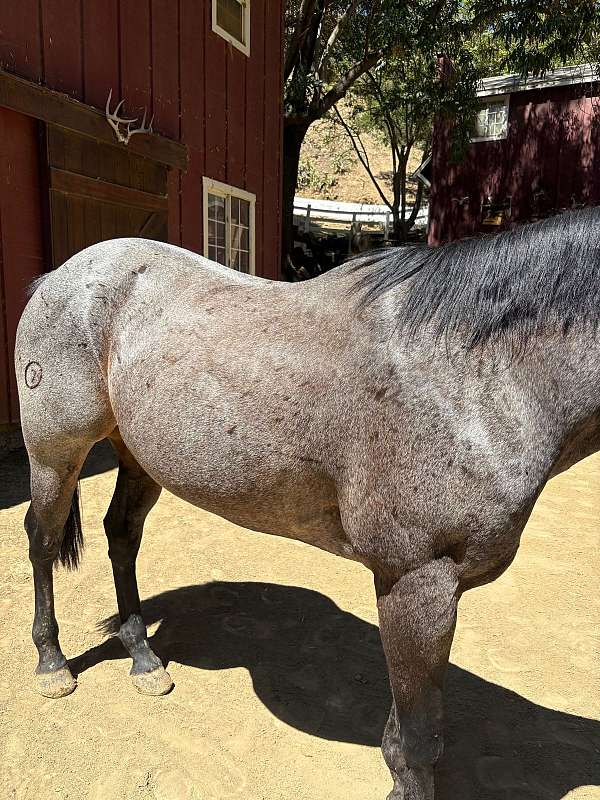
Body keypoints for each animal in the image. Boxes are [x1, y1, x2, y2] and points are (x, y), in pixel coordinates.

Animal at [15, 206, 600, 800]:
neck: (475, 377)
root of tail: (61, 276)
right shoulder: (418, 581)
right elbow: (419, 738)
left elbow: (404, 733)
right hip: (55, 455)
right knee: (42, 542)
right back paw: (52, 664)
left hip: (137, 456)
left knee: (122, 535)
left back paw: (142, 657)